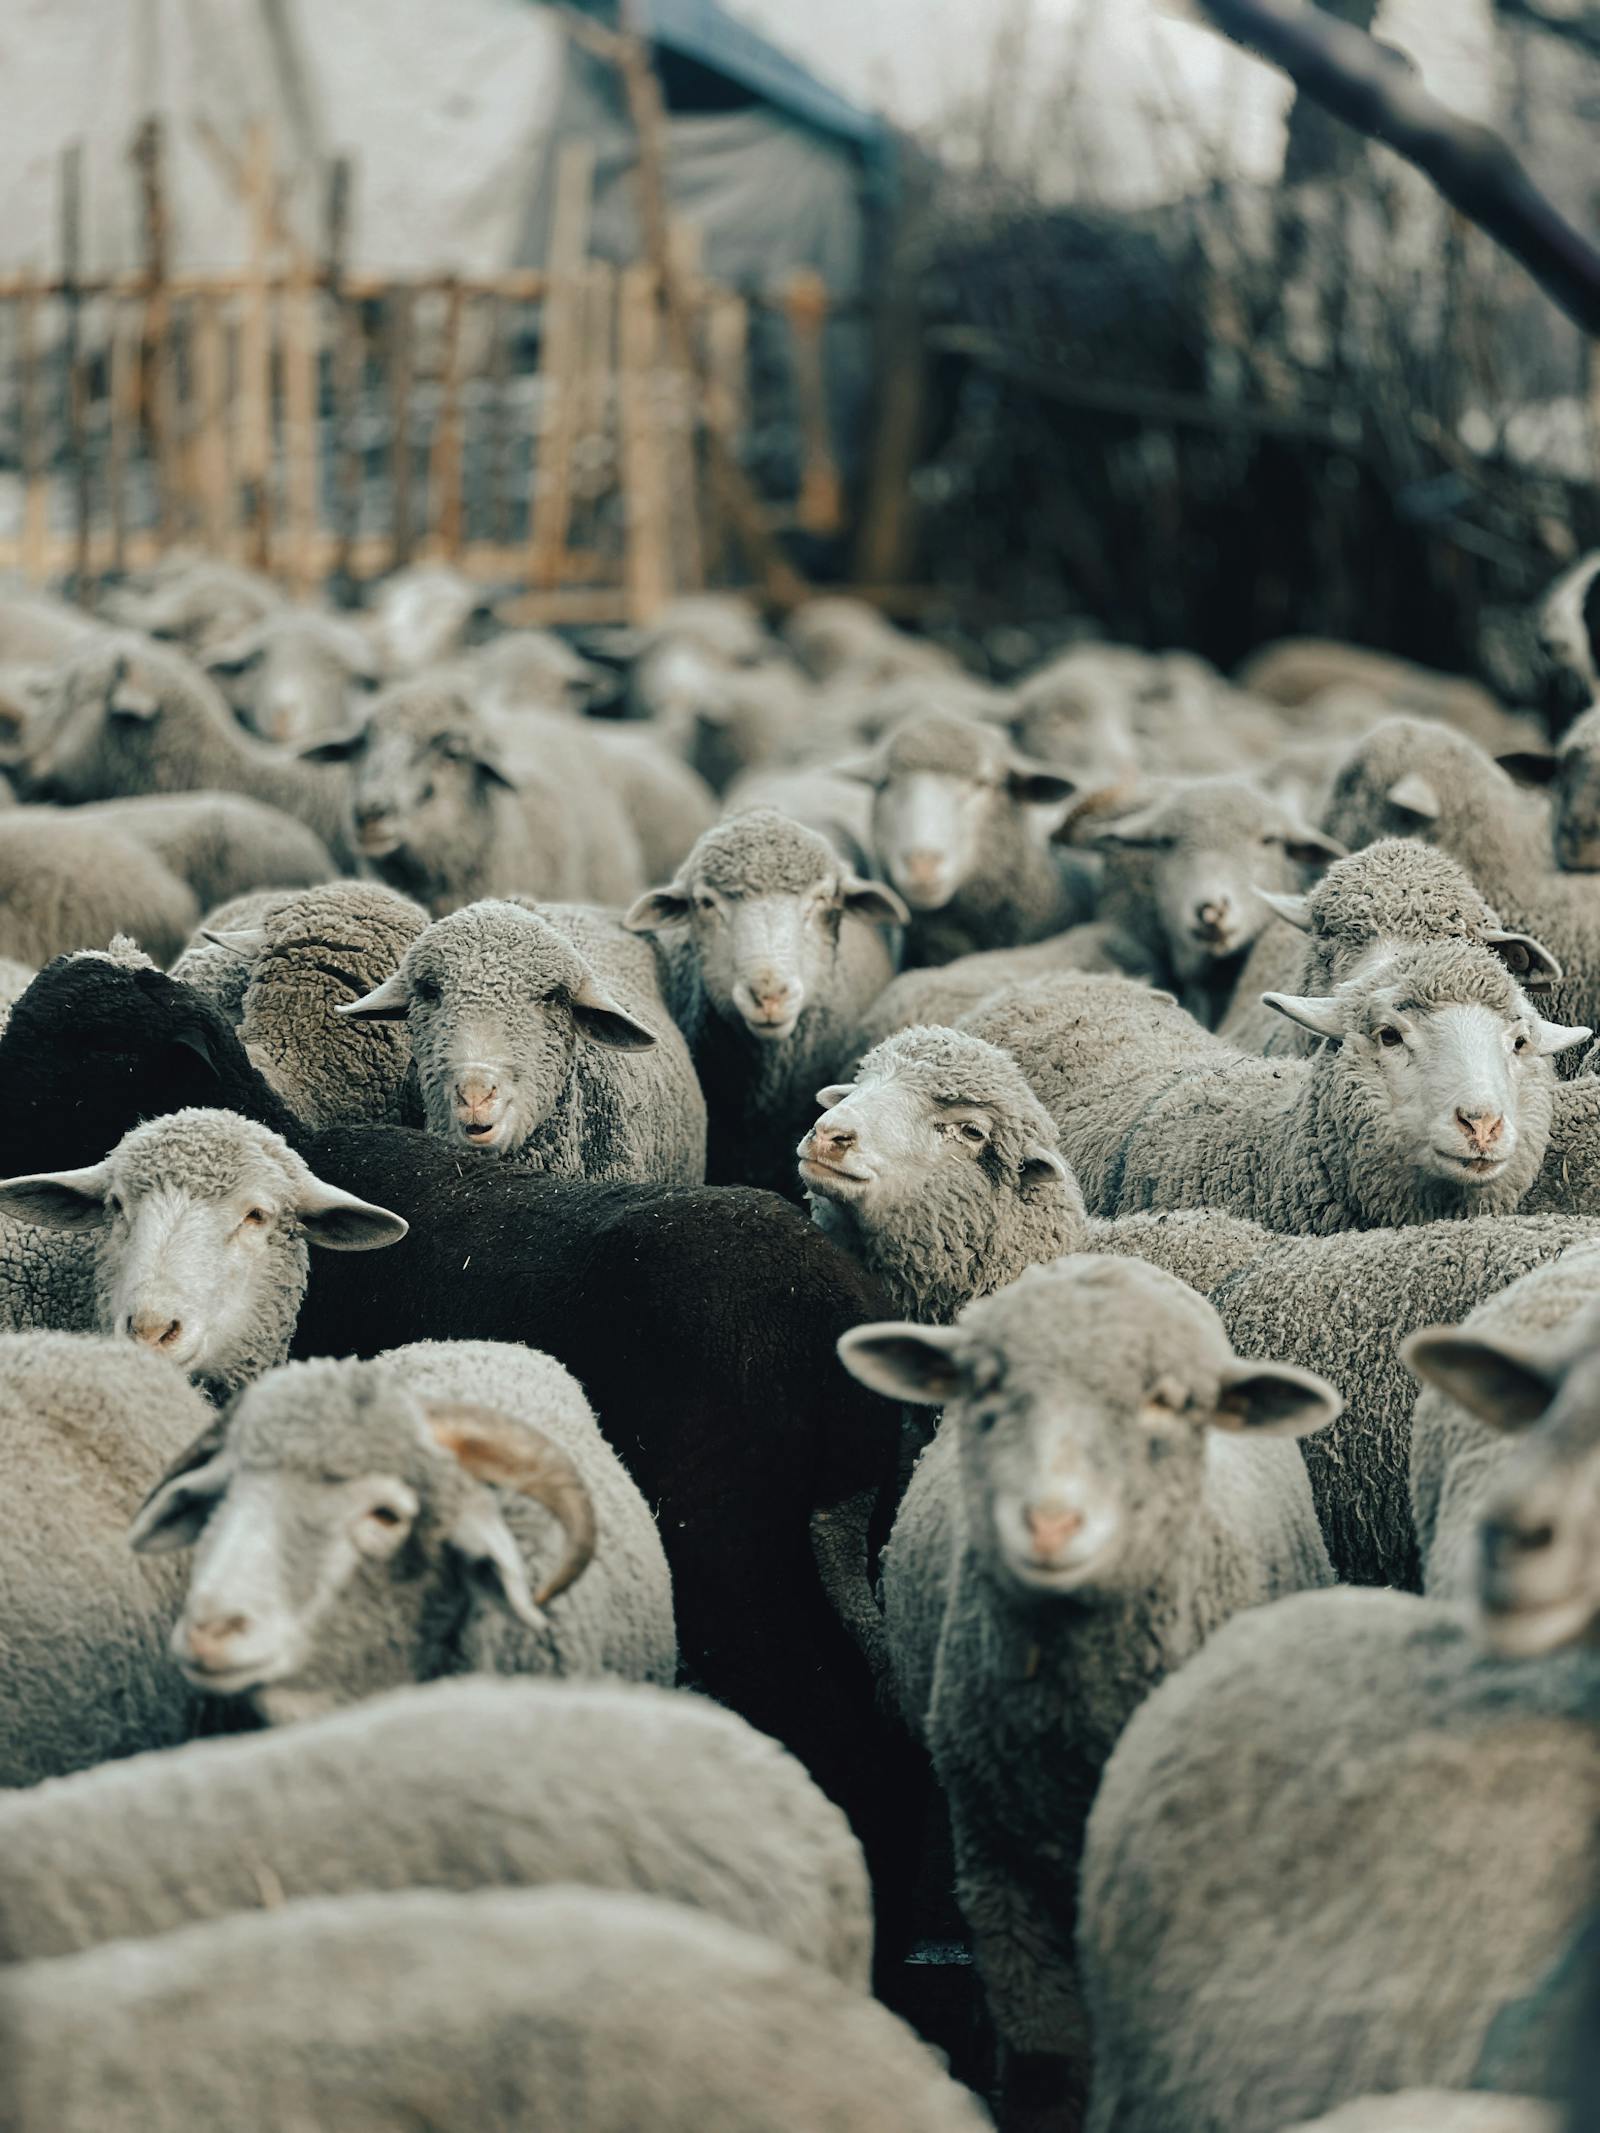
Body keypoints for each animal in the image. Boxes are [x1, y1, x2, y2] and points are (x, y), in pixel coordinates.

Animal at [842, 1256, 1338, 2116]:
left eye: (1168, 1401)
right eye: (985, 1385)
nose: (1049, 1523)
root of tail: (1102, 1260)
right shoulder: (999, 1865)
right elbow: (1048, 2054)